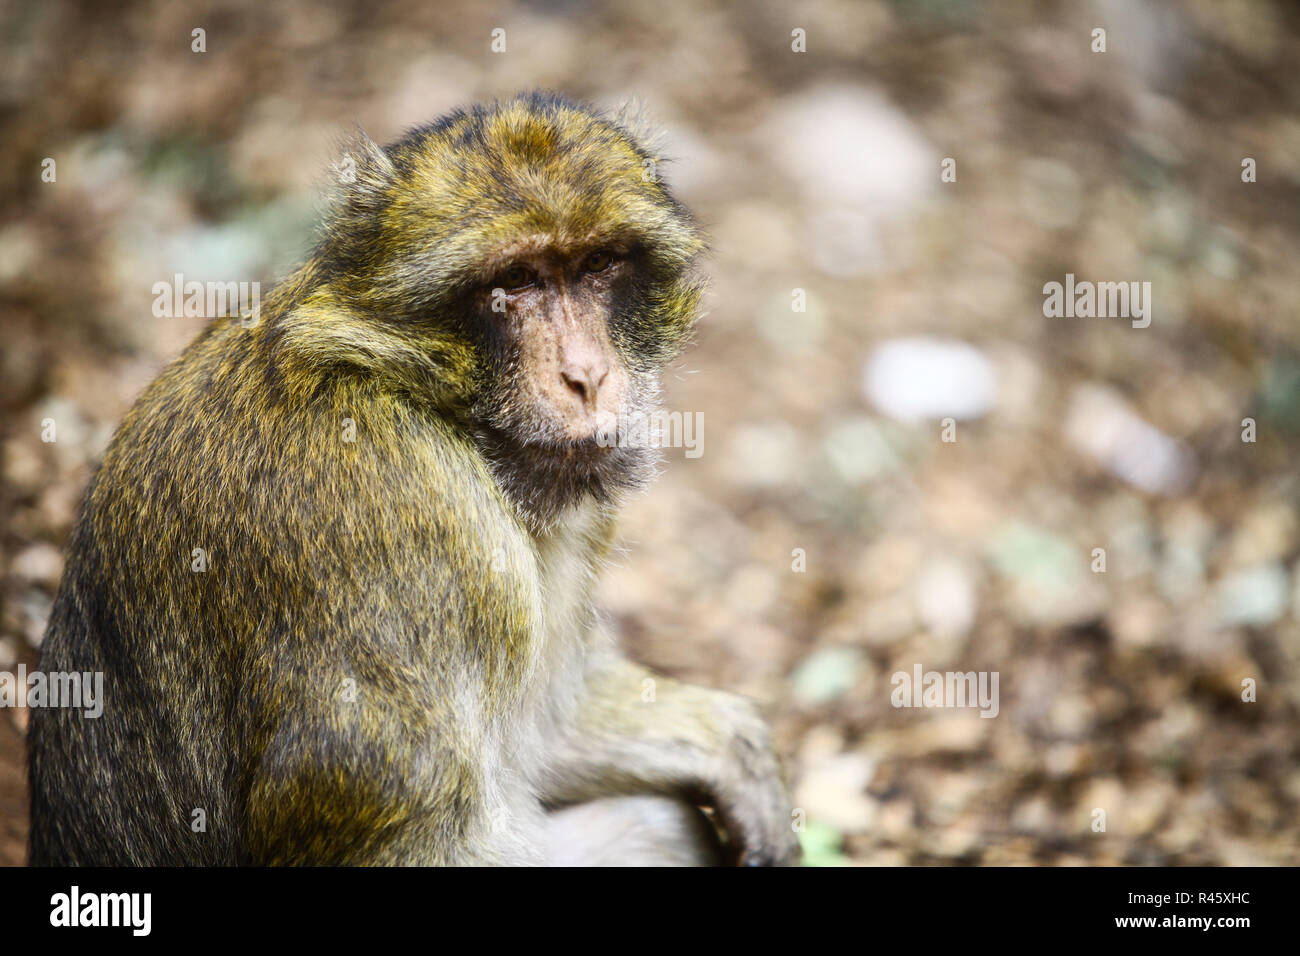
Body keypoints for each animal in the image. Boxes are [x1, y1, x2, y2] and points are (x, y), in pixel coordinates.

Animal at [27, 92, 800, 867]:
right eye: (516, 281)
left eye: (597, 264)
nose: (587, 376)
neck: (408, 387)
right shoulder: (415, 521)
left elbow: (540, 732)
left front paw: (729, 742)